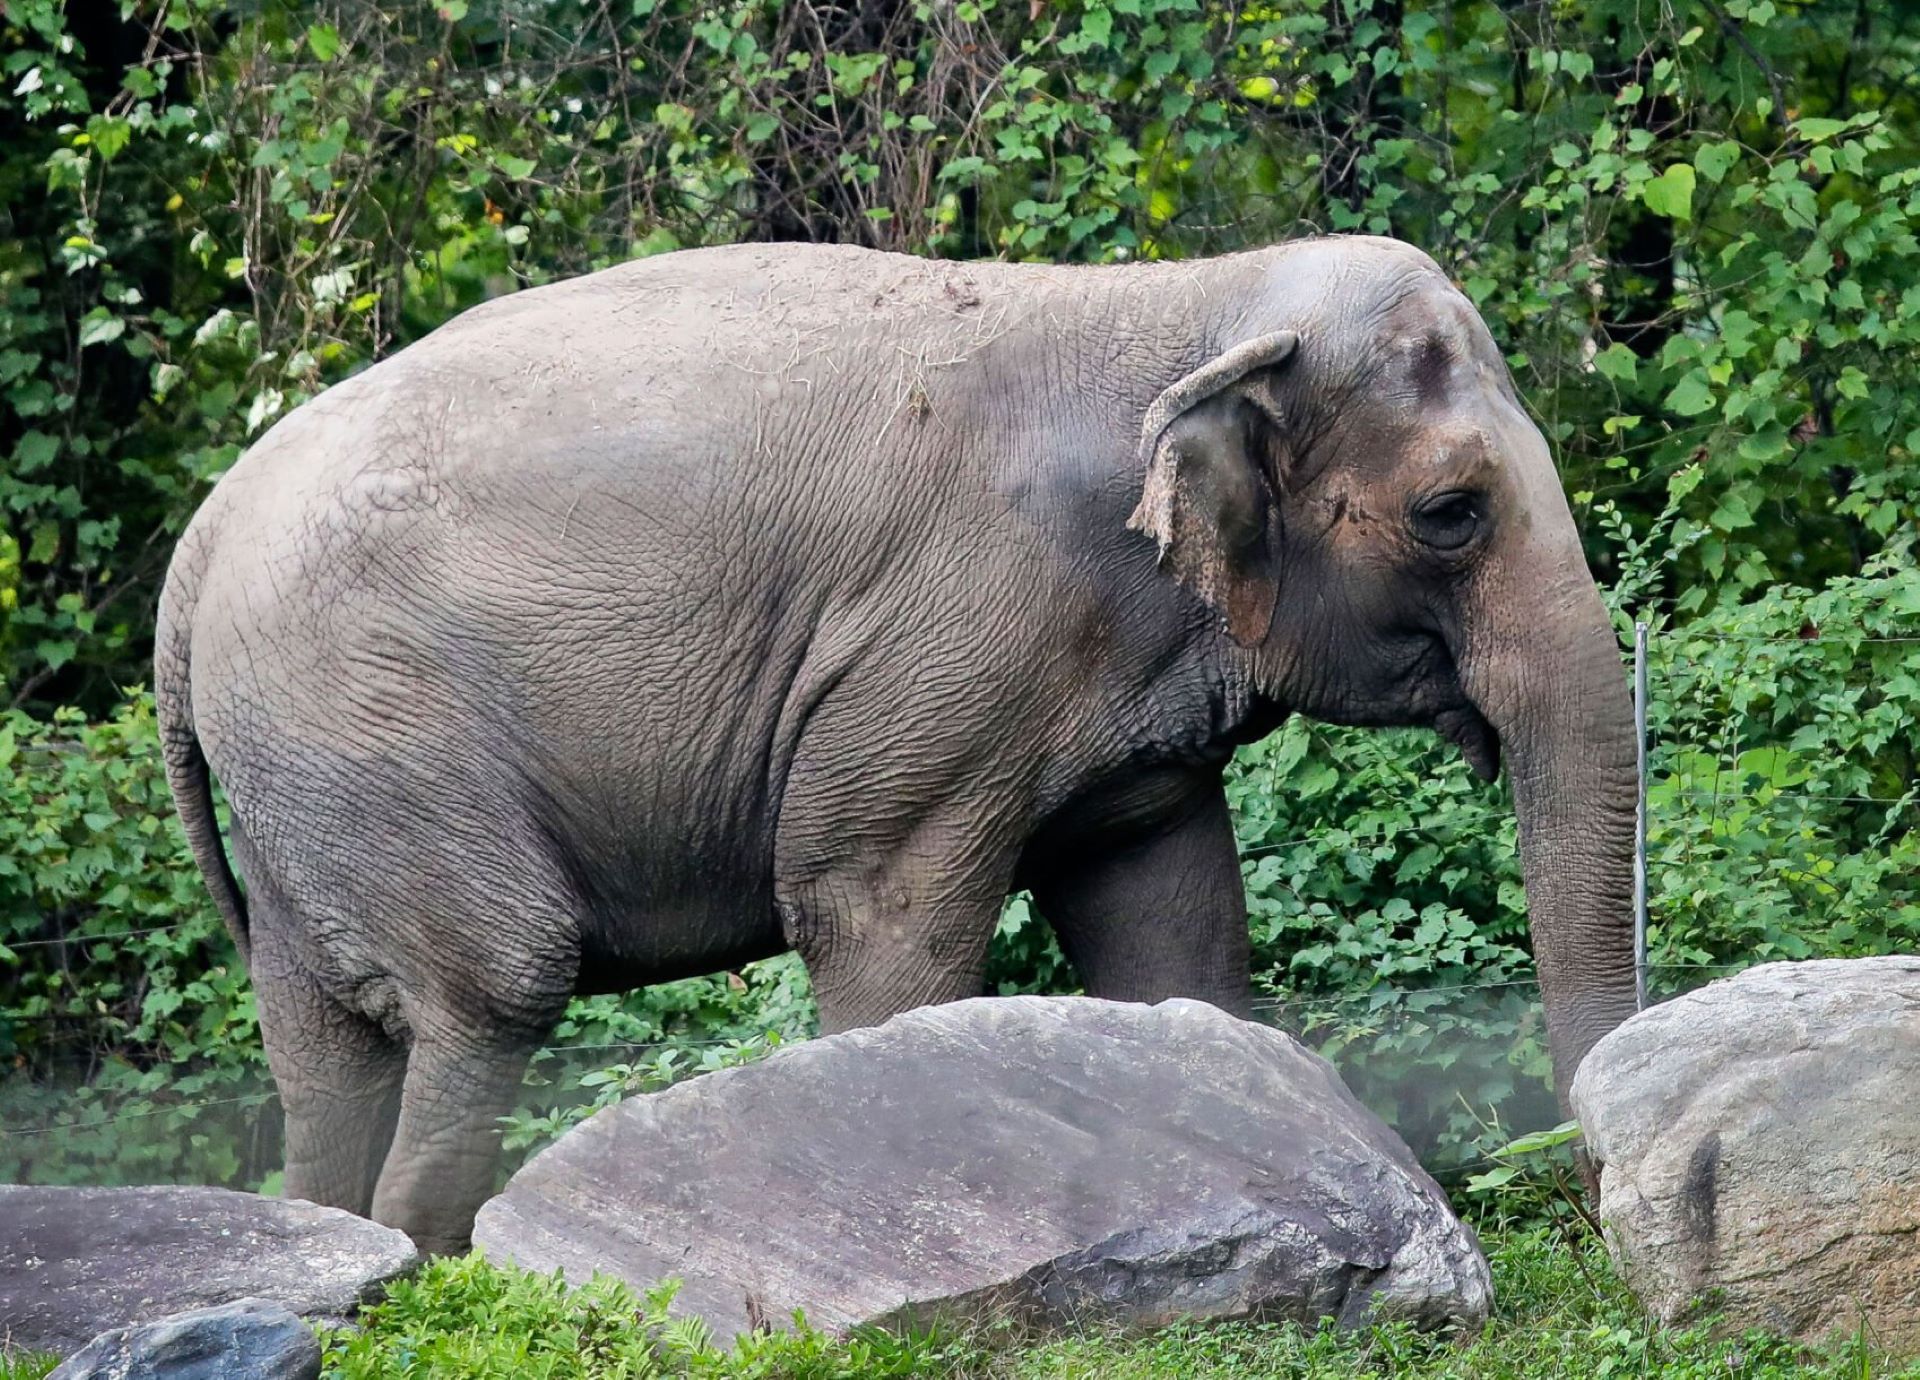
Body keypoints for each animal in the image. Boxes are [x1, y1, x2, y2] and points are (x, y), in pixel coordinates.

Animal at [155, 236, 1638, 1255]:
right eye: (1451, 512)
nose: (1585, 1193)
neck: (1184, 302)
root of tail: (199, 545)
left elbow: (1172, 927)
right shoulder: (949, 646)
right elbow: (877, 912)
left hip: (302, 778)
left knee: (322, 1048)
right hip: (375, 731)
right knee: (493, 990)